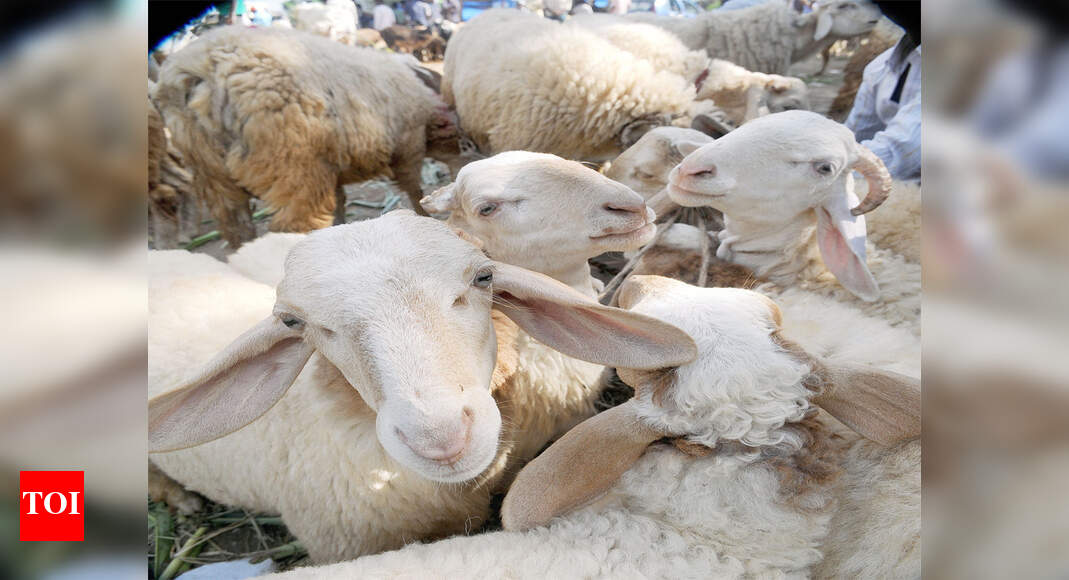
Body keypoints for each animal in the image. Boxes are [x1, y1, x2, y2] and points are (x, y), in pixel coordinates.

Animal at [153, 26, 462, 249]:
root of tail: (200, 72)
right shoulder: (408, 144)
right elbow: (414, 189)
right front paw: (424, 219)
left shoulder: (333, 165)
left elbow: (340, 201)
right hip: (294, 166)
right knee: (293, 228)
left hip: (212, 172)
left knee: (236, 227)